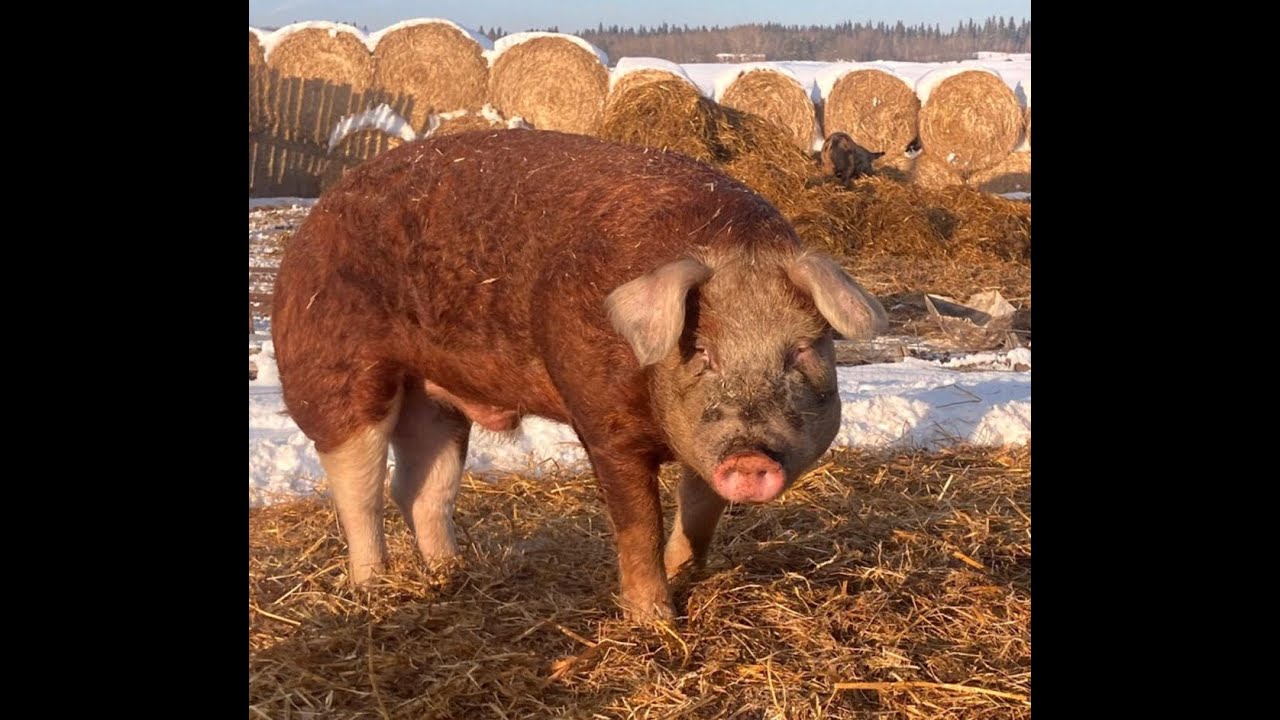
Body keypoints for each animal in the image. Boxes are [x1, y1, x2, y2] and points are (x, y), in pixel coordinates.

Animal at [271, 129, 887, 621]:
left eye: (801, 351)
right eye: (701, 352)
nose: (750, 458)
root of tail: (312, 221)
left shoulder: (699, 445)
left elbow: (700, 515)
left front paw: (681, 576)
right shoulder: (600, 420)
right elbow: (638, 523)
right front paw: (654, 621)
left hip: (436, 402)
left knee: (422, 490)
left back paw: (453, 574)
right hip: (333, 378)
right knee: (360, 493)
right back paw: (375, 591)